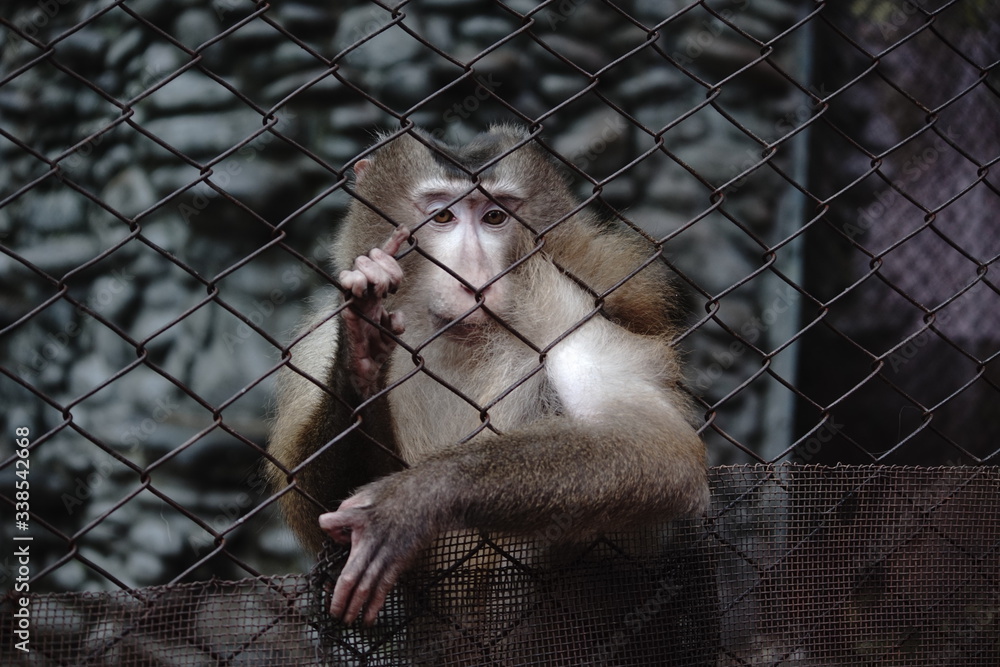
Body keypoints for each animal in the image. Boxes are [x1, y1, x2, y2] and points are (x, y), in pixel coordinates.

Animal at [267, 126, 711, 655]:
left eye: (495, 216)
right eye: (442, 216)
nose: (475, 274)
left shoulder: (567, 303)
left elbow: (656, 442)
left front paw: (415, 499)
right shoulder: (311, 349)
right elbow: (322, 519)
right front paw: (362, 352)